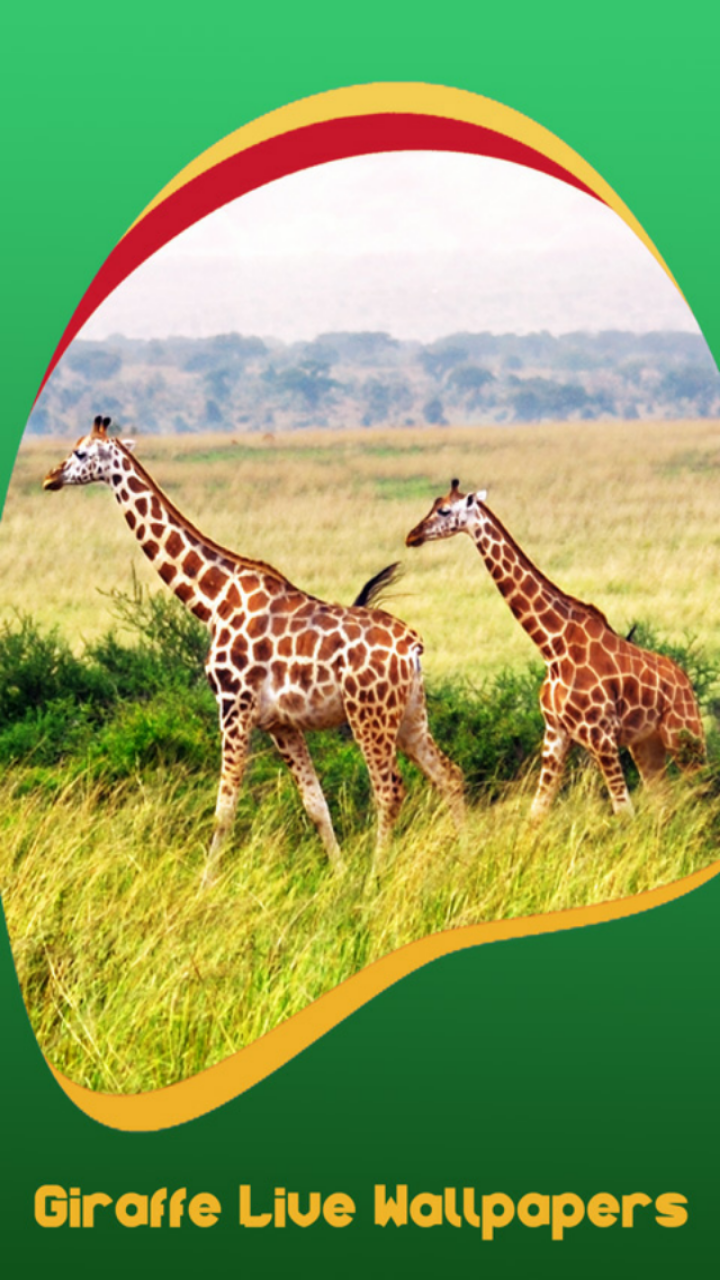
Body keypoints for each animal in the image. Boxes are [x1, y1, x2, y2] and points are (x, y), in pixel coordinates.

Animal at [43, 417, 464, 884]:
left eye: (80, 453)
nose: (50, 478)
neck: (214, 600)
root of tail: (412, 645)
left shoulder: (234, 705)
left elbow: (224, 808)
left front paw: (204, 884)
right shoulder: (280, 723)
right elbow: (315, 805)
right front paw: (338, 876)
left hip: (369, 714)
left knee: (390, 790)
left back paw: (377, 875)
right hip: (409, 715)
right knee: (450, 776)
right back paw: (468, 857)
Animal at [406, 480, 705, 820]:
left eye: (444, 510)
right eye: (433, 504)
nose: (412, 536)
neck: (552, 647)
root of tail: (686, 683)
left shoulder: (601, 736)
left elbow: (623, 810)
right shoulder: (555, 734)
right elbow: (537, 812)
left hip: (684, 735)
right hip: (646, 744)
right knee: (663, 799)